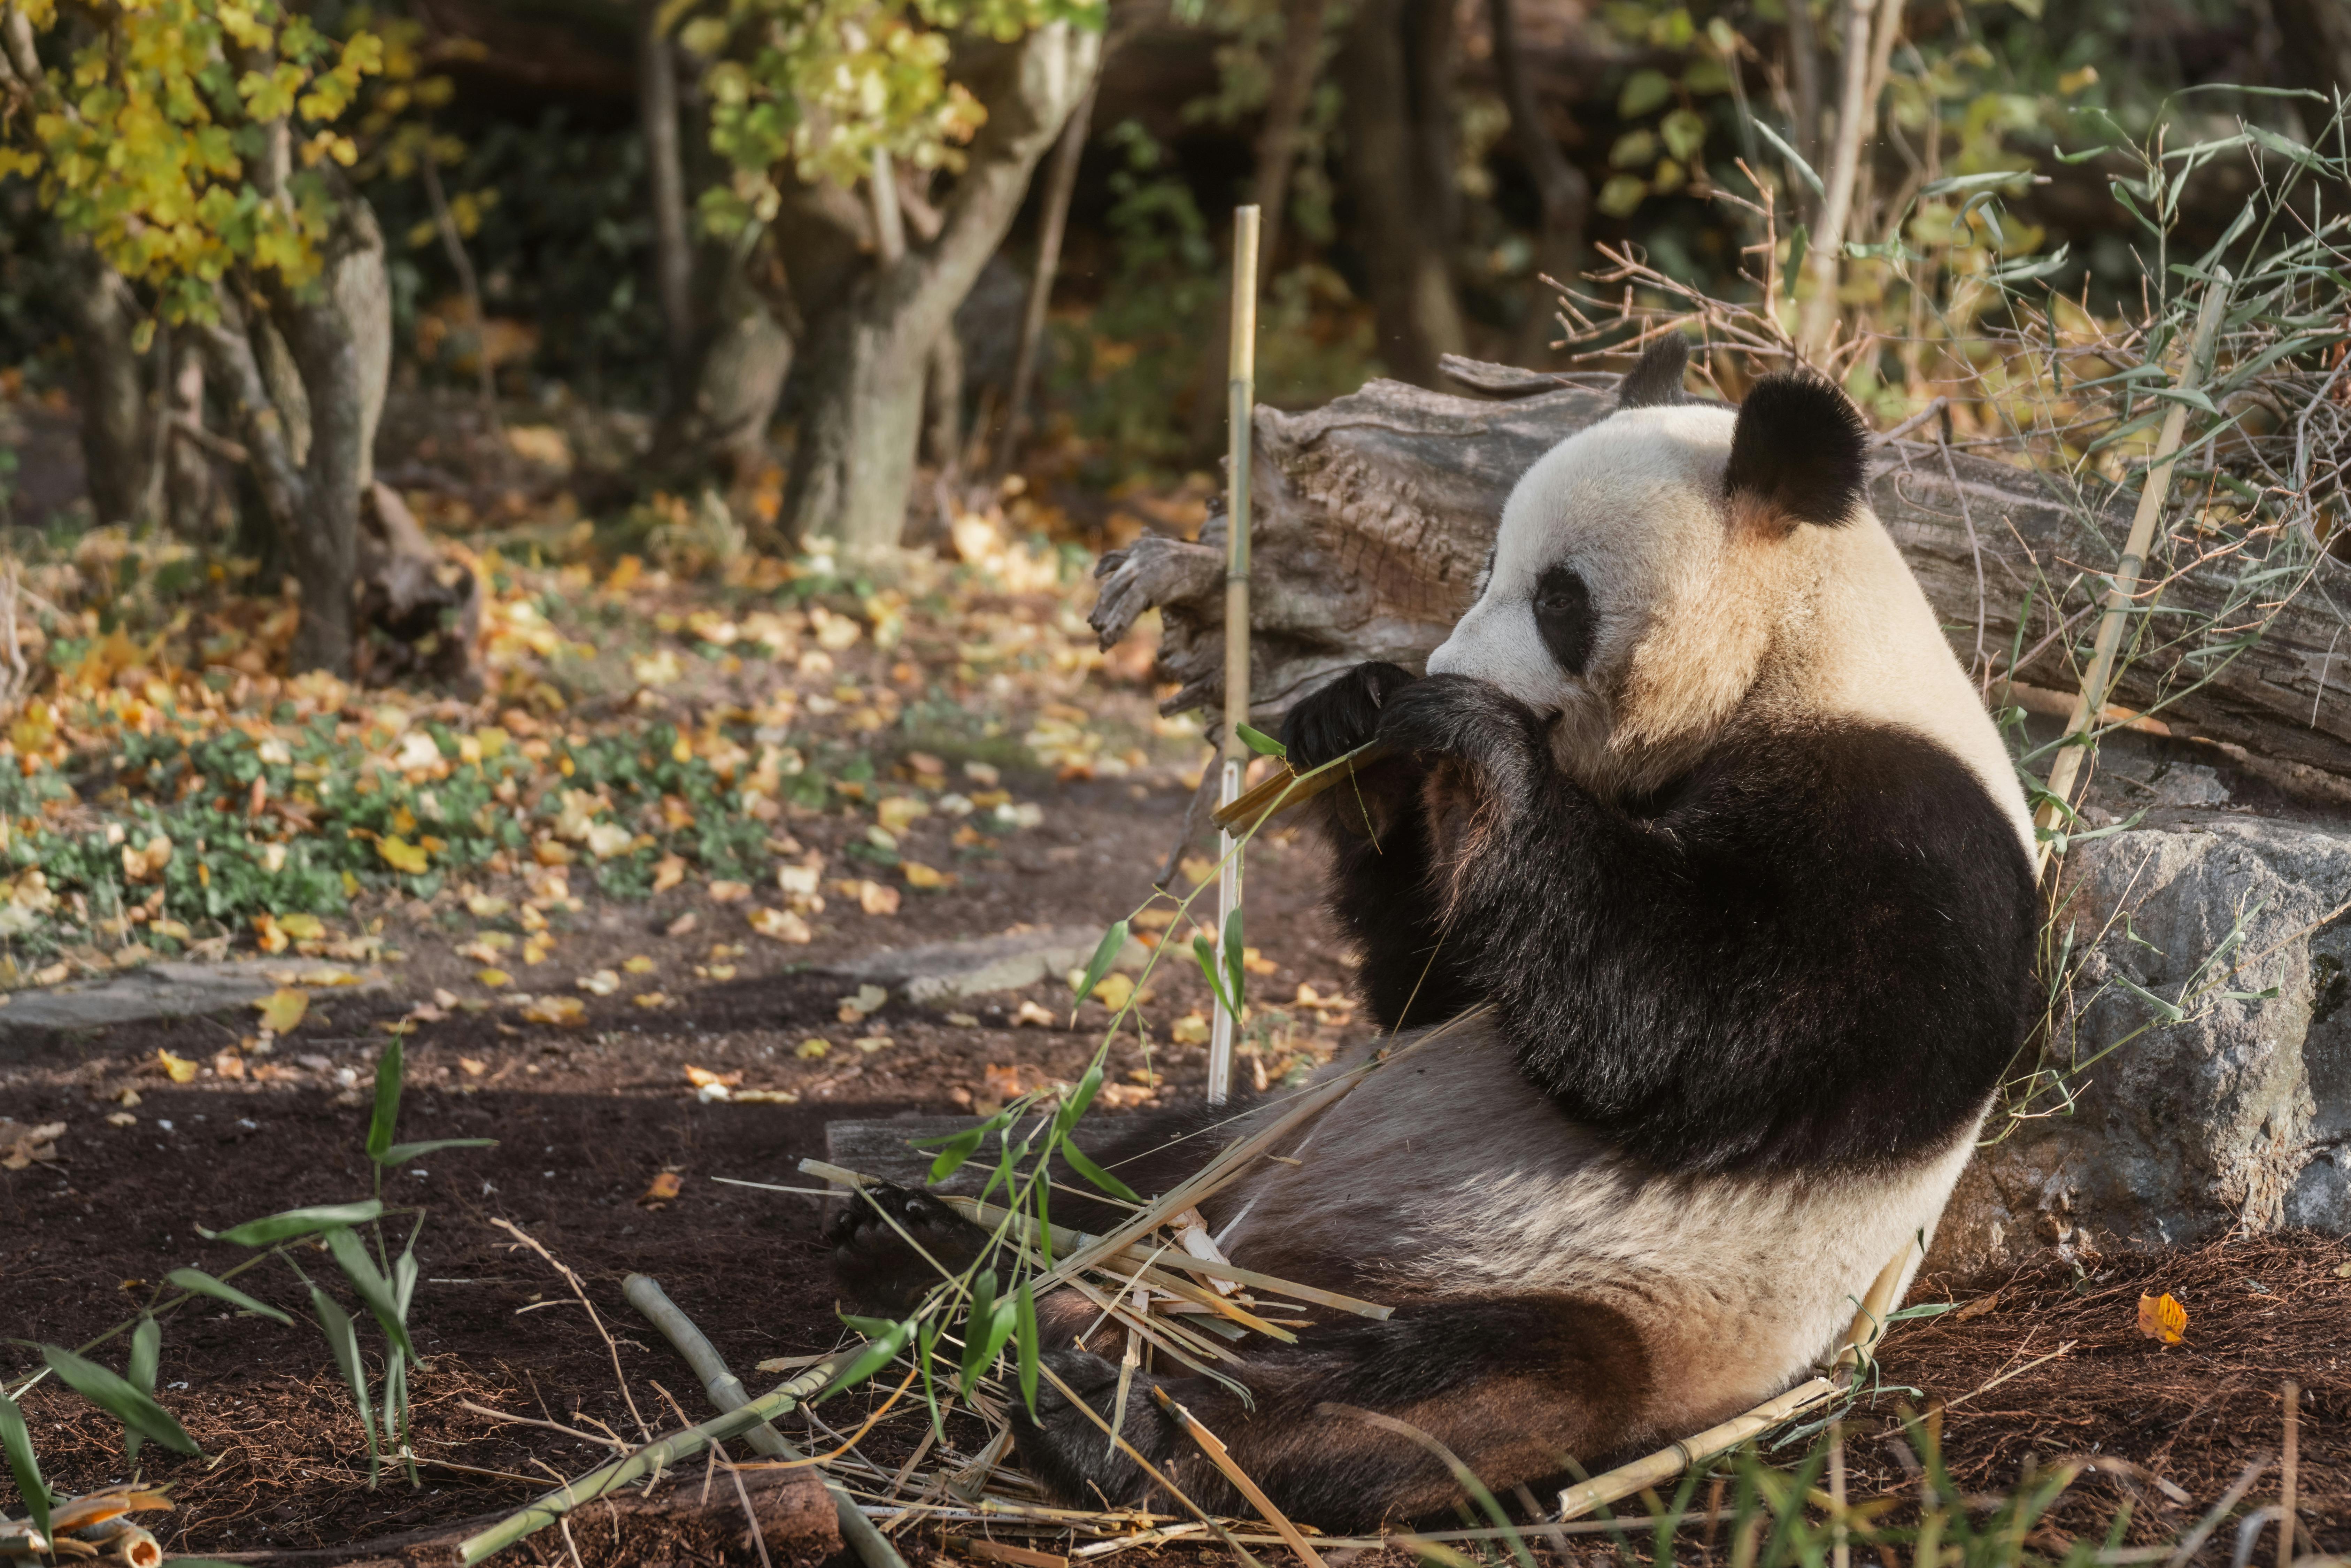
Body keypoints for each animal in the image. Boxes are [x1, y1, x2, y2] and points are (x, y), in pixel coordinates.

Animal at [826, 336, 2040, 1531]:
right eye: (1480, 567)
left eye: (1560, 600)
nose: (1447, 670)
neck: (1800, 656)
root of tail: (1257, 1268)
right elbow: (1445, 984)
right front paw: (1354, 721)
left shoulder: (1913, 840)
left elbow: (1698, 1024)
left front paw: (1469, 735)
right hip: (1251, 1143)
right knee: (1114, 1170)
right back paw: (930, 1248)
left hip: (1633, 1299)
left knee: (1464, 1385)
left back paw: (1109, 1417)